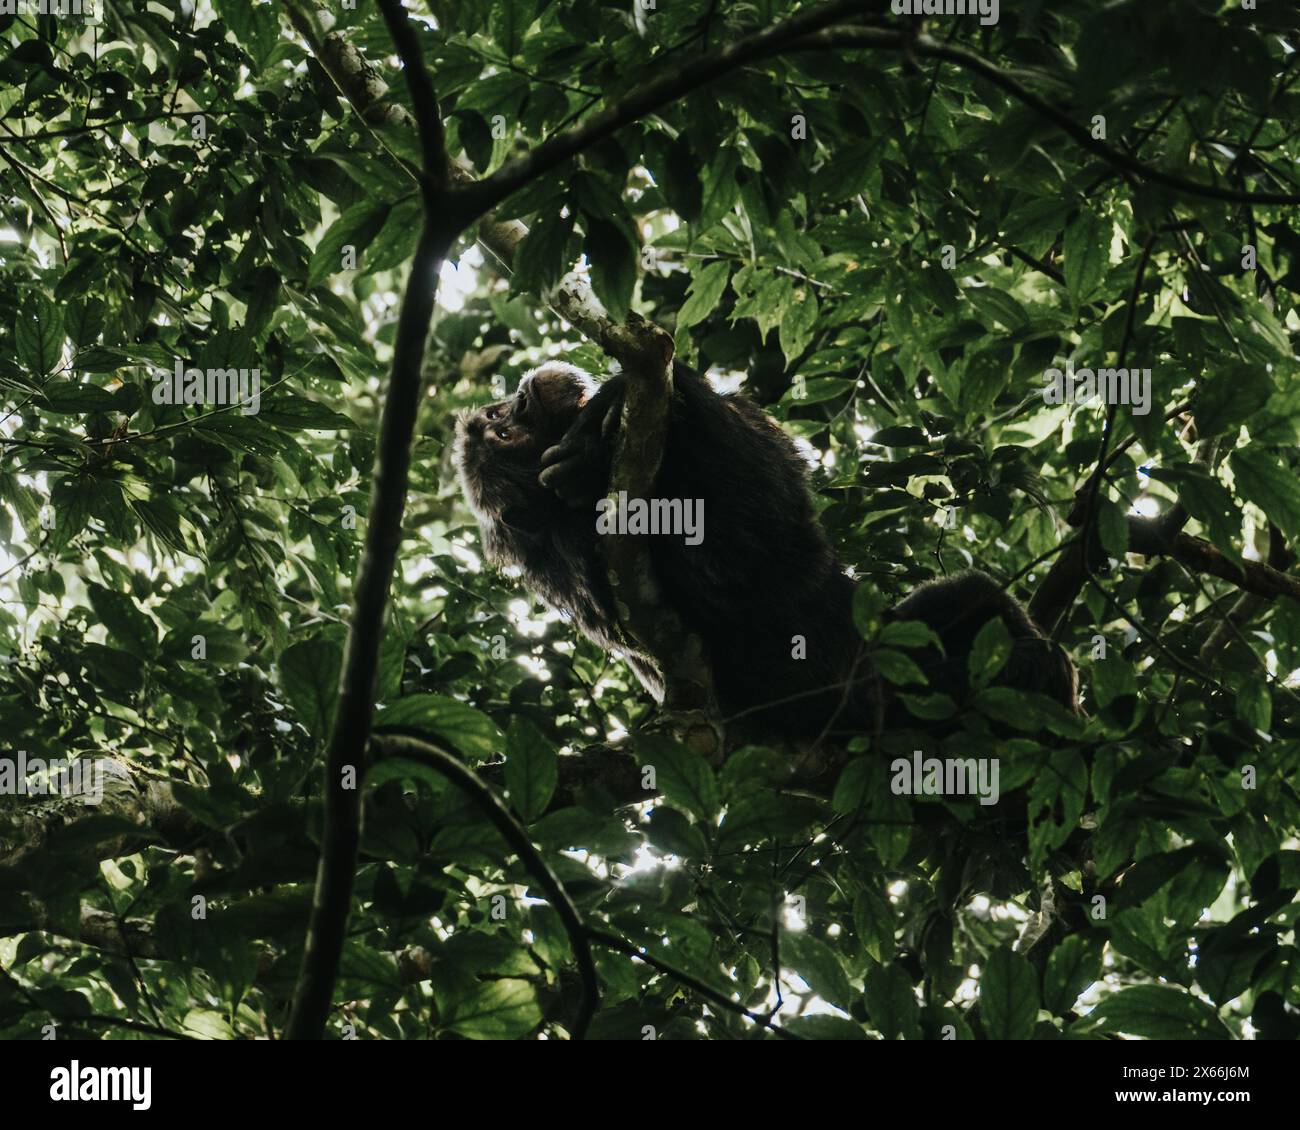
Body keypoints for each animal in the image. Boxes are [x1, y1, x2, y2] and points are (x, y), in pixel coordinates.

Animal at [454, 360, 1076, 742]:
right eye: (503, 428)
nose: (519, 395)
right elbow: (759, 518)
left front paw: (602, 412)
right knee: (970, 592)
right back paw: (1051, 676)